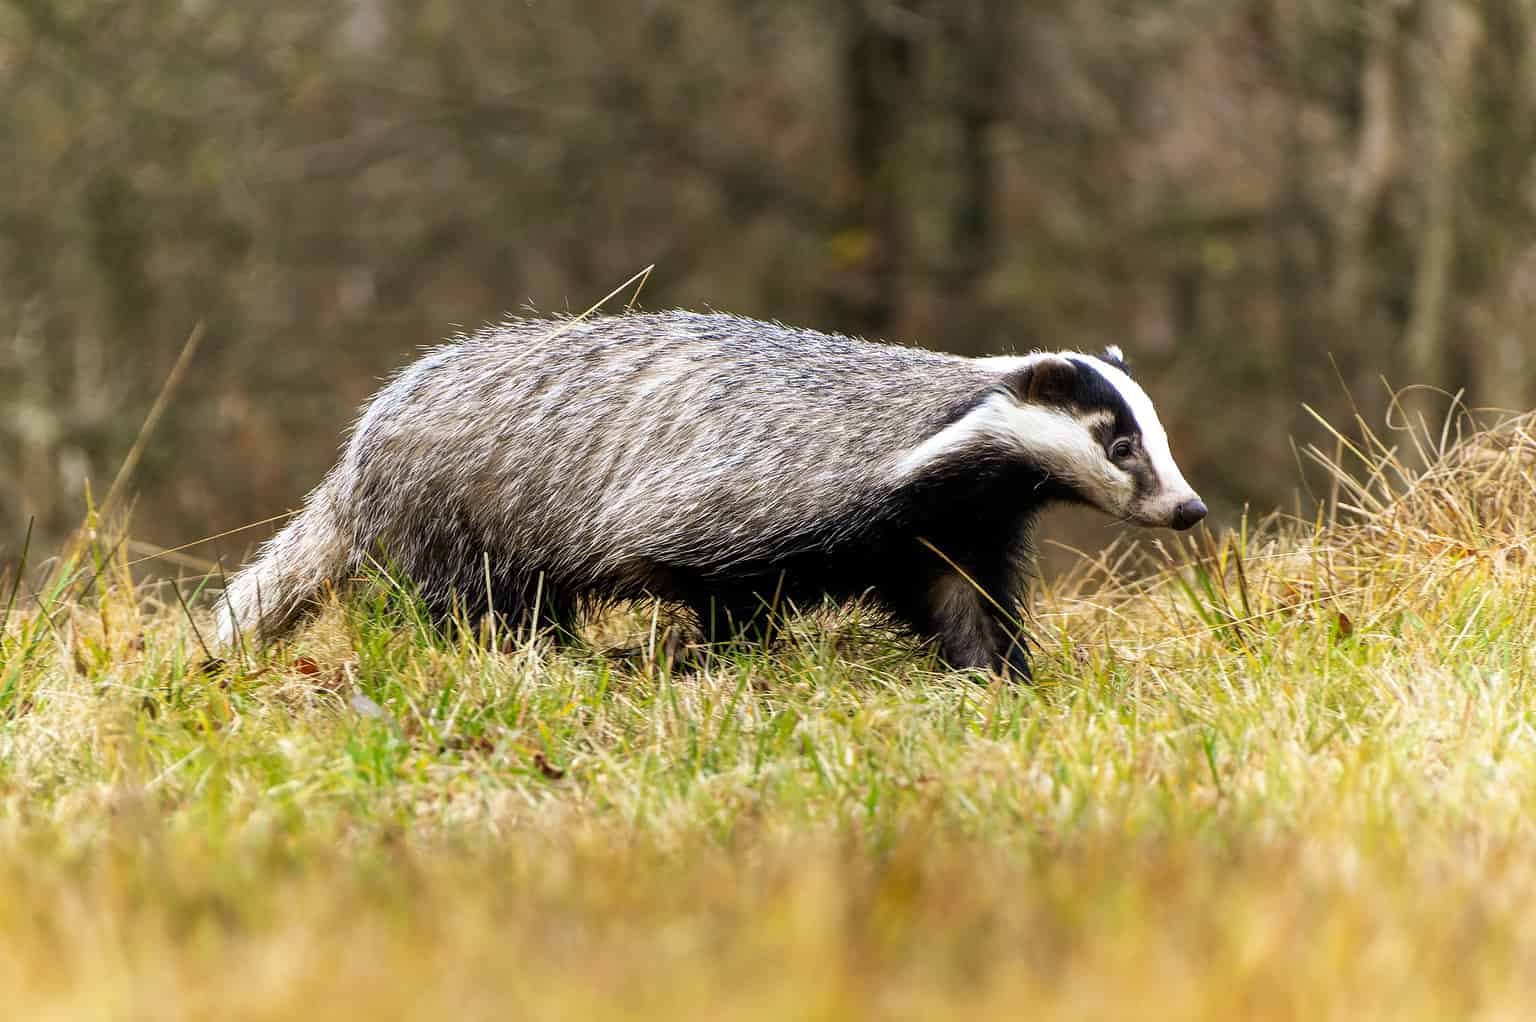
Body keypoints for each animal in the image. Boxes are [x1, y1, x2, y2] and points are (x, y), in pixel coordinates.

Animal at [214, 311, 1205, 678]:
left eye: (1158, 436)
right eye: (1120, 444)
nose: (1187, 509)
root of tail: (359, 453)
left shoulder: (955, 524)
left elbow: (963, 600)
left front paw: (998, 673)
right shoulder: (745, 498)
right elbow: (715, 584)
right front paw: (723, 660)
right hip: (461, 514)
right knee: (471, 602)